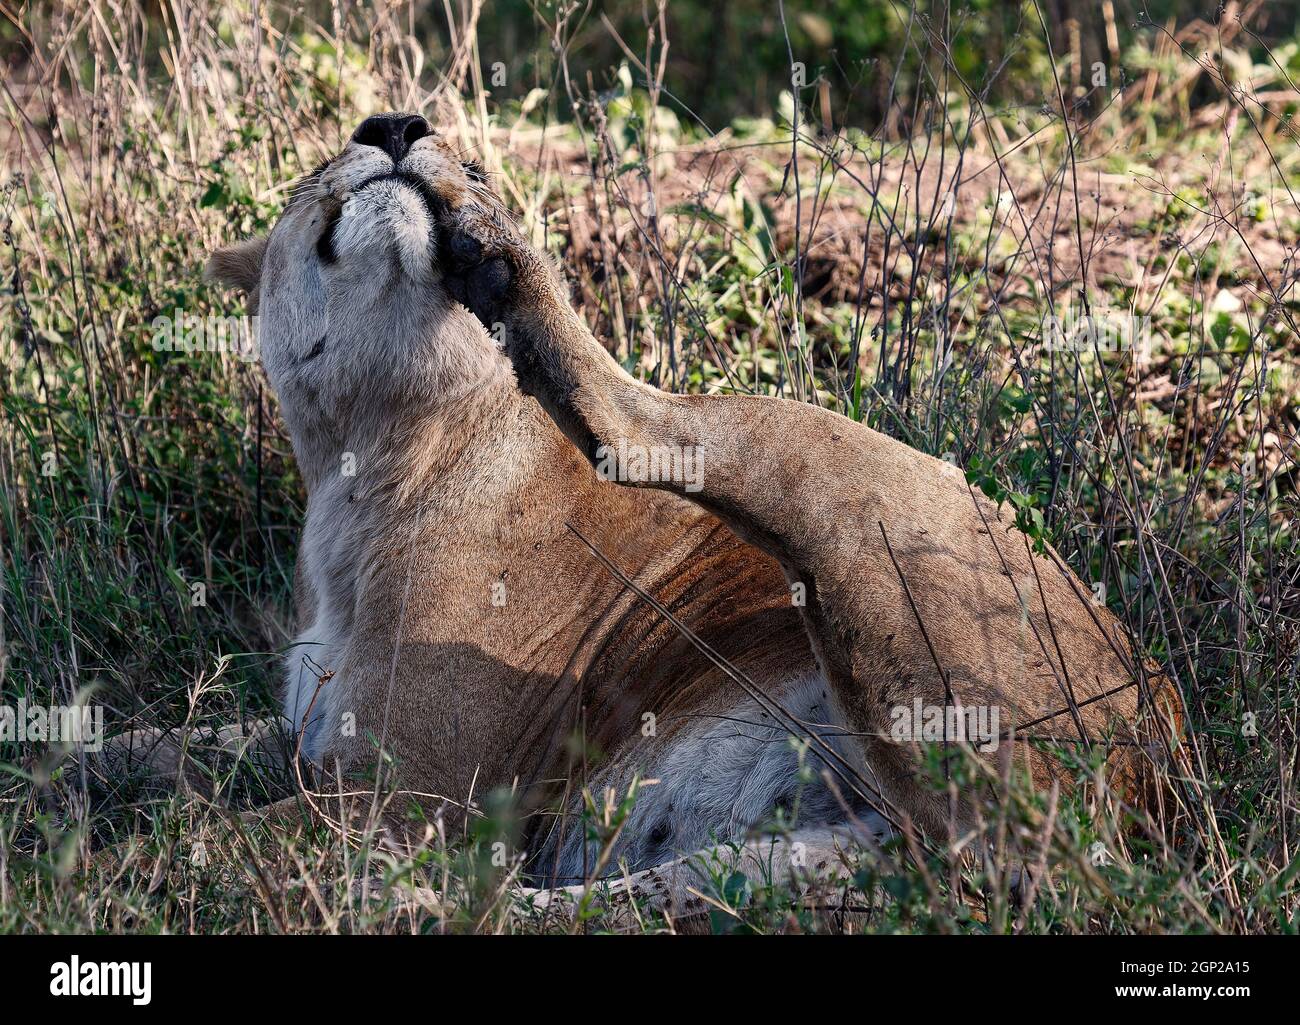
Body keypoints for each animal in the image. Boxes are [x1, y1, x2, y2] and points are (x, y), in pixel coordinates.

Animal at [203, 112, 1178, 893]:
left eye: (477, 161)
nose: (396, 124)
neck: (365, 465)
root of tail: (1157, 763)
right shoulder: (320, 753)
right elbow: (191, 752)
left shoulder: (397, 796)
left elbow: (198, 839)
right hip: (796, 857)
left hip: (852, 489)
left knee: (641, 423)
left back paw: (500, 263)